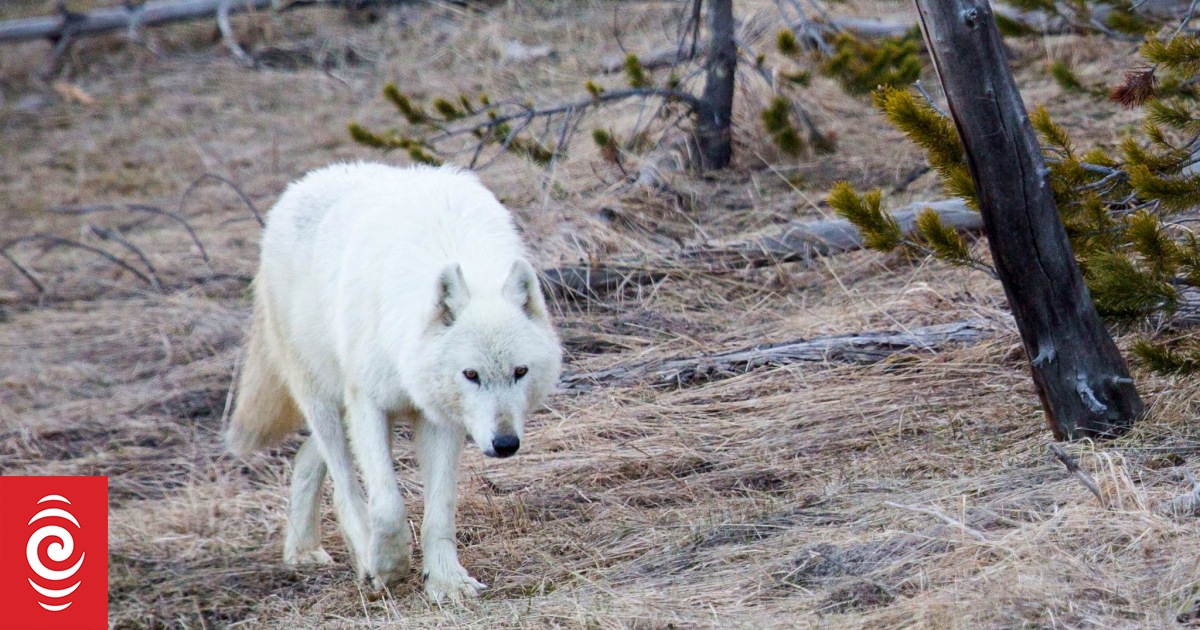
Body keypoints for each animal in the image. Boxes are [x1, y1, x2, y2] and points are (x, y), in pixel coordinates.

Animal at [225, 162, 562, 601]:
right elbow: (387, 504)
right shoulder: (368, 404)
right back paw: (358, 559)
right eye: (471, 375)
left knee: (306, 458)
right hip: (324, 399)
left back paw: (302, 550)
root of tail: (301, 184)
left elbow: (440, 510)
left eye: (519, 372)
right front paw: (388, 566)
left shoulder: (440, 417)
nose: (505, 444)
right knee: (344, 485)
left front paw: (446, 582)